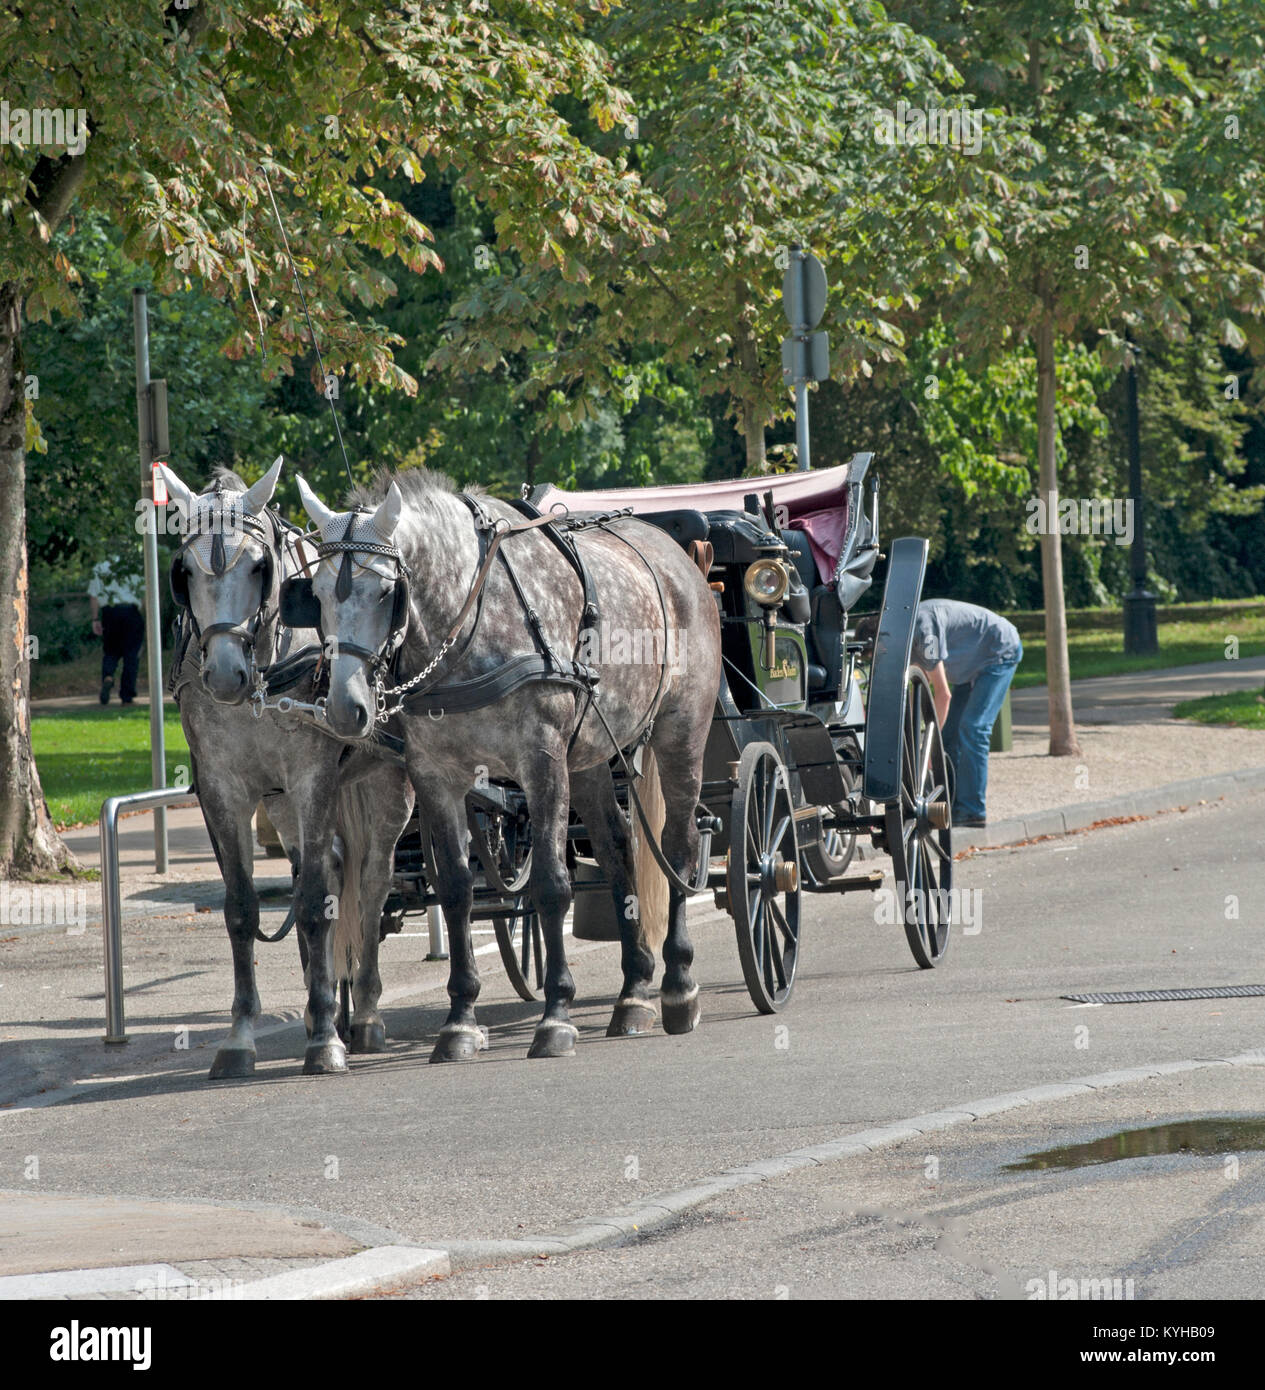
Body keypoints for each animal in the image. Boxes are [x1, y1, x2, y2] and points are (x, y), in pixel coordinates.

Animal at [157, 461, 414, 1077]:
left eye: (258, 566)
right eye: (185, 572)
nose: (225, 675)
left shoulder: (311, 779)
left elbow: (320, 905)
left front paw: (324, 1039)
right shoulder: (224, 791)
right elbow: (242, 908)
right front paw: (240, 1037)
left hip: (386, 786)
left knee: (371, 885)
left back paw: (365, 1014)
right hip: (282, 805)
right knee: (329, 872)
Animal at [291, 467, 722, 1061]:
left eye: (385, 592)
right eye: (314, 595)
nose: (344, 707)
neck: (467, 623)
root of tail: (680, 557)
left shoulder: (541, 761)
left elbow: (551, 884)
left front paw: (556, 1014)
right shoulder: (436, 774)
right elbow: (455, 889)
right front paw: (459, 1021)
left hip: (681, 734)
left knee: (677, 849)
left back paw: (679, 985)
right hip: (587, 759)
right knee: (618, 851)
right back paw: (634, 992)